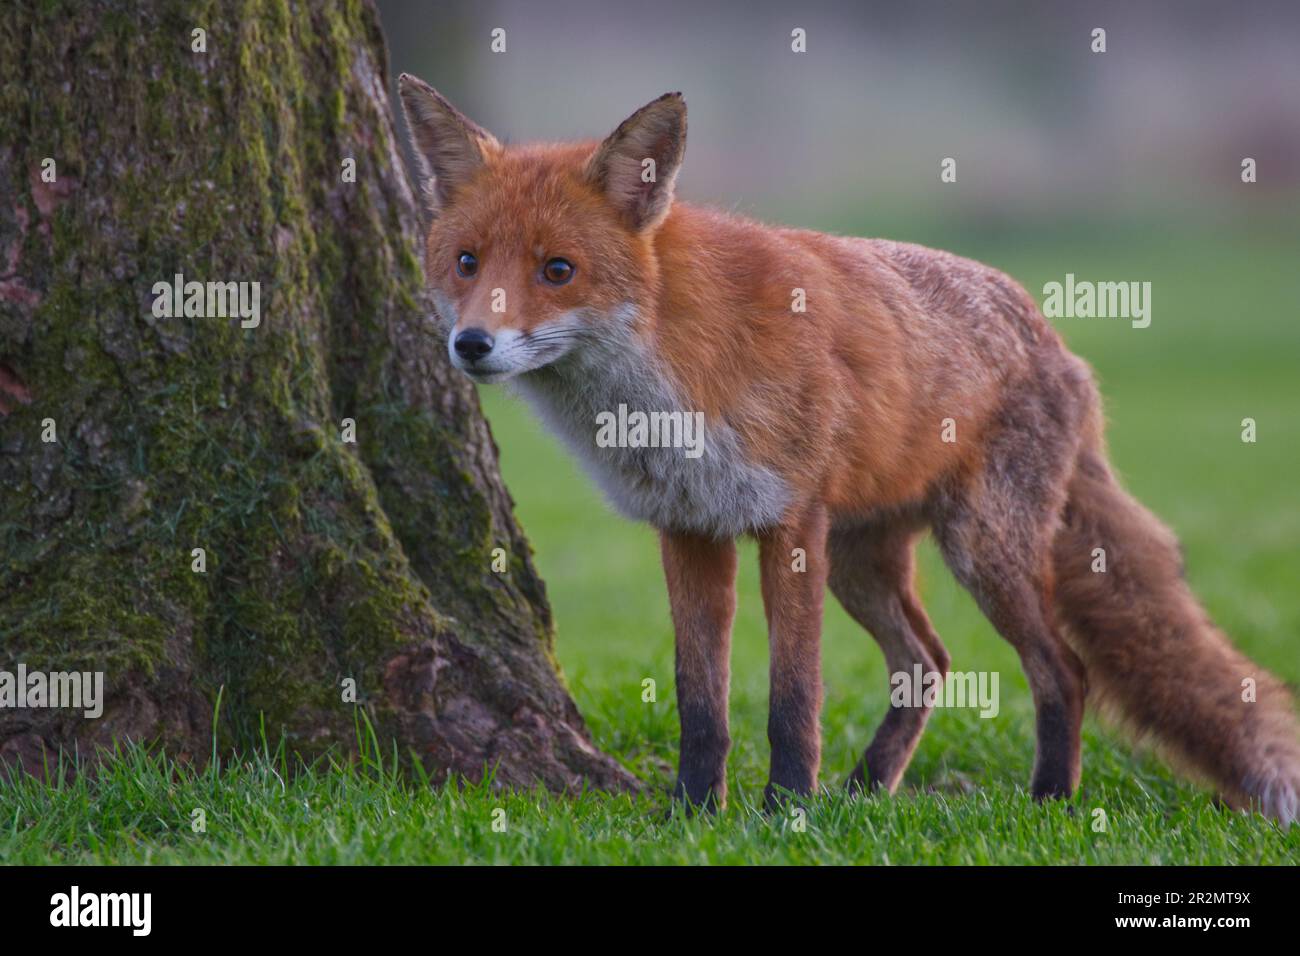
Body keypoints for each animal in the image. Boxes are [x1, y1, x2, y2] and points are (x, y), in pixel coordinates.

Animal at [397, 73, 1300, 826]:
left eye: (558, 270)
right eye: (466, 262)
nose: (472, 344)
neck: (669, 364)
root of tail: (1055, 340)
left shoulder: (791, 525)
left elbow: (793, 697)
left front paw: (785, 812)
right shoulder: (689, 529)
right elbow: (701, 702)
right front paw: (693, 812)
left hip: (979, 550)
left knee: (1062, 671)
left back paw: (1048, 801)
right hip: (865, 563)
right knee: (929, 662)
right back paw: (869, 790)